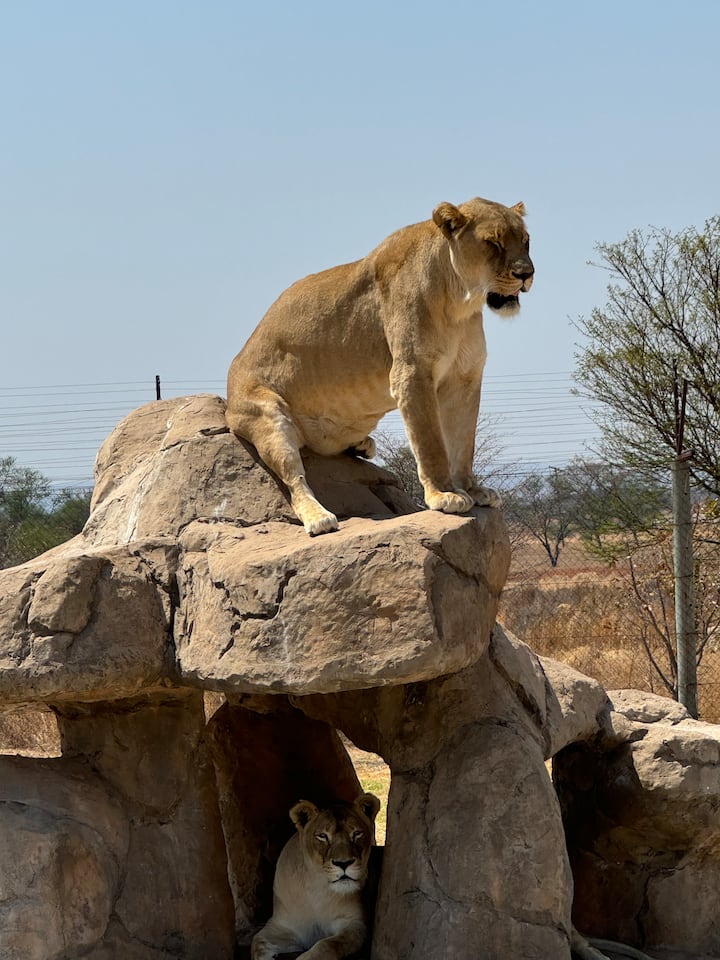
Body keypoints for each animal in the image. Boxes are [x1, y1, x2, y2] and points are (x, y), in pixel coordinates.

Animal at [226, 196, 534, 535]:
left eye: (526, 241)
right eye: (493, 242)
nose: (527, 274)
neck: (460, 304)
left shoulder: (465, 377)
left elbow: (463, 442)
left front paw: (473, 489)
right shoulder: (411, 373)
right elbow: (431, 442)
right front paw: (445, 494)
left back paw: (362, 446)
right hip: (268, 416)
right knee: (294, 478)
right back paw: (320, 518)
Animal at [251, 792, 381, 960]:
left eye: (357, 833)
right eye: (322, 836)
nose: (343, 863)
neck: (319, 888)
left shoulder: (356, 924)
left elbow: (328, 944)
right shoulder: (282, 925)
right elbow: (257, 943)